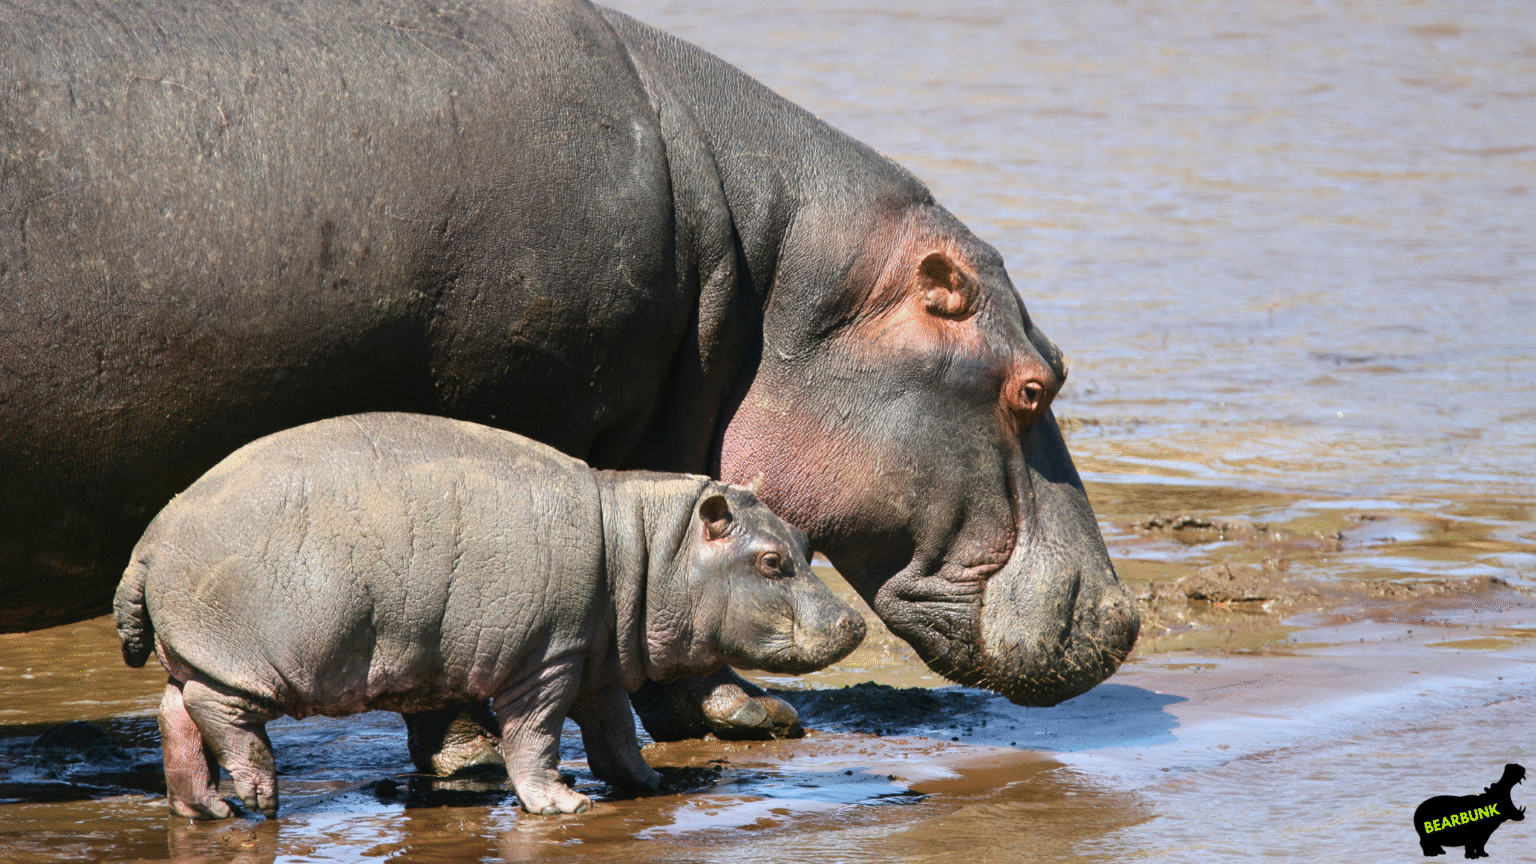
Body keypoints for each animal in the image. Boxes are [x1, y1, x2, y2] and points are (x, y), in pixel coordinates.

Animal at [113, 413, 865, 818]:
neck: (651, 546)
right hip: (256, 660)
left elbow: (615, 733)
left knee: (174, 712)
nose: (855, 623)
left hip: (201, 653)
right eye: (771, 562)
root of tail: (150, 538)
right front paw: (561, 803)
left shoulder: (593, 658)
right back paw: (261, 794)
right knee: (217, 712)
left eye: (806, 542)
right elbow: (535, 734)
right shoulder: (548, 659)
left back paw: (204, 809)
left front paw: (651, 783)